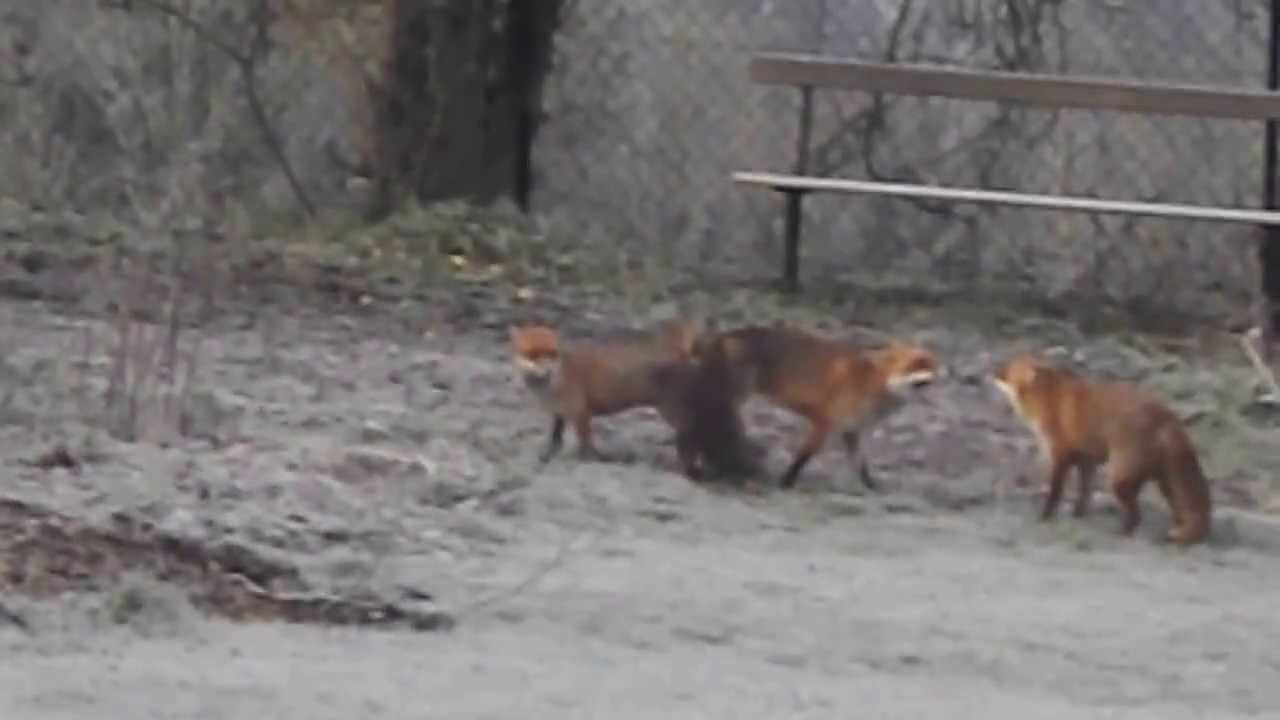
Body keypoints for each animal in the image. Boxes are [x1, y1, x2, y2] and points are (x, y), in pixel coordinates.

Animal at [509, 318, 751, 476]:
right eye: (532, 354)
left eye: (551, 353)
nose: (546, 369)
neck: (551, 387)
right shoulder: (558, 414)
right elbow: (555, 441)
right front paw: (546, 457)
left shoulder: (580, 413)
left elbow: (586, 444)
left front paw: (590, 460)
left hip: (674, 413)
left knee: (696, 437)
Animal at [690, 324, 942, 490]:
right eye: (913, 366)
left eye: (930, 364)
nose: (933, 377)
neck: (873, 383)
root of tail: (727, 333)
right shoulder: (824, 422)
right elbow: (803, 457)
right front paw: (786, 482)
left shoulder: (852, 431)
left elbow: (862, 467)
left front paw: (872, 487)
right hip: (732, 399)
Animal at [991, 352, 1212, 546]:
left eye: (1008, 367)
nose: (992, 371)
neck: (1046, 398)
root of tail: (1167, 414)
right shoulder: (1086, 460)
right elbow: (1084, 493)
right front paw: (1077, 516)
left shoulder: (1060, 456)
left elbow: (1055, 493)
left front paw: (1045, 517)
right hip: (1164, 483)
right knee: (1175, 512)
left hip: (1119, 478)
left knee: (1136, 516)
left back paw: (1122, 534)